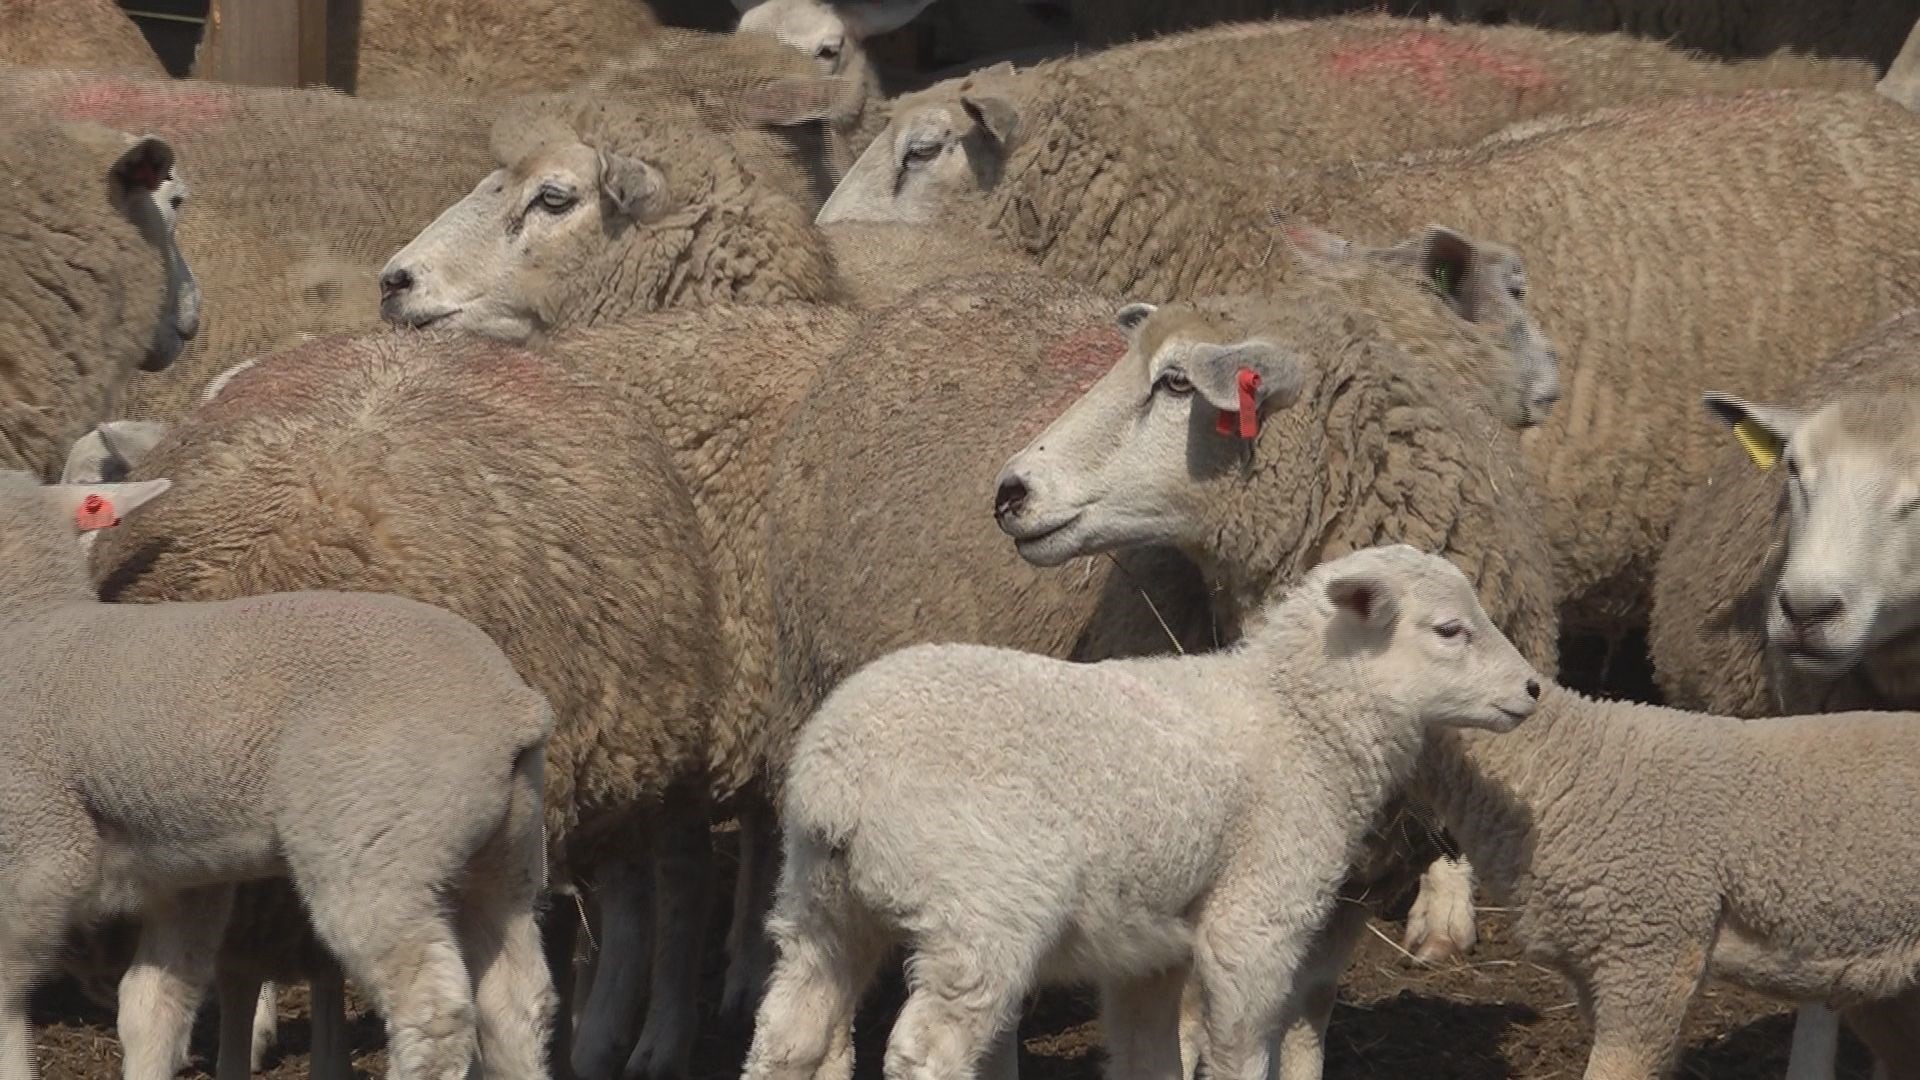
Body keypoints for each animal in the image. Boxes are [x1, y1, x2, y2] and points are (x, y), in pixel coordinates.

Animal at [0, 468, 558, 1080]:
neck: (31, 620)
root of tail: (512, 707)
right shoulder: (186, 876)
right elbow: (153, 1004)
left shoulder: (40, 841)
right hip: (507, 850)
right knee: (516, 999)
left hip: (375, 840)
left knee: (433, 1011)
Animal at [741, 542, 1543, 1080]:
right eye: (1450, 630)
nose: (1534, 689)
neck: (1297, 720)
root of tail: (836, 778)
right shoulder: (1257, 913)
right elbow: (1243, 1046)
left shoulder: (1152, 943)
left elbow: (1145, 1053)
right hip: (982, 906)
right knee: (926, 1051)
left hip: (821, 903)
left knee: (788, 1031)